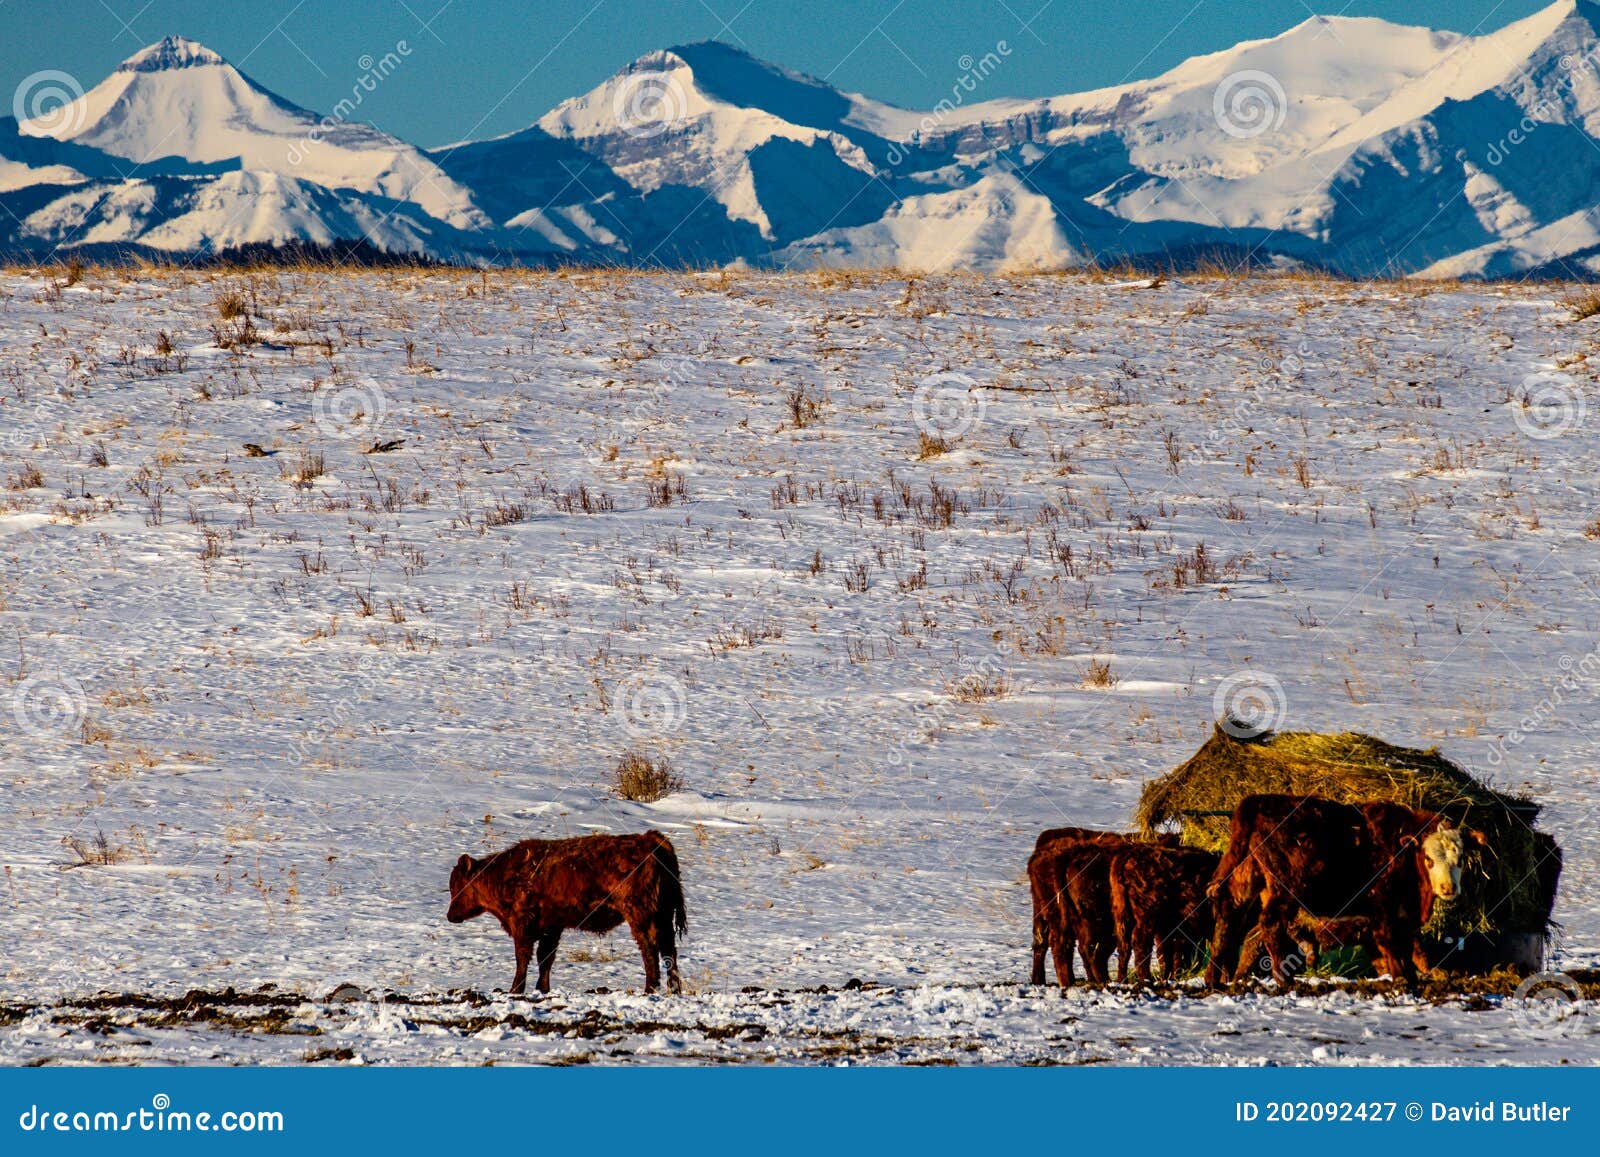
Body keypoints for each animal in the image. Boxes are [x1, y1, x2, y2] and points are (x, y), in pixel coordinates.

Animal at [447, 830, 687, 995]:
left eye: (458, 885)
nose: (450, 915)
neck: (504, 875)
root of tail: (650, 840)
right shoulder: (551, 927)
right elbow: (545, 958)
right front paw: (542, 988)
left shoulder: (523, 926)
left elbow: (523, 958)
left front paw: (515, 989)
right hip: (662, 915)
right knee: (668, 950)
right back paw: (673, 989)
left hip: (641, 915)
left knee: (650, 948)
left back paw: (650, 989)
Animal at [1109, 845, 1220, 983]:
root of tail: (1126, 857)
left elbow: (1167, 952)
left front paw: (1168, 976)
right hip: (1147, 916)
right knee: (1140, 942)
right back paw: (1146, 978)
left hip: (1122, 913)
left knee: (1124, 946)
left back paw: (1122, 979)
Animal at [1205, 794, 1483, 987]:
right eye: (1429, 859)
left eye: (1460, 859)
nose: (1449, 888)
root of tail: (1258, 802)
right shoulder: (1383, 912)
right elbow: (1393, 944)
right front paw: (1403, 977)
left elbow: (1410, 949)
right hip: (1286, 890)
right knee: (1270, 924)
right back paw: (1284, 979)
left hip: (1245, 876)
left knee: (1230, 919)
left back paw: (1215, 978)